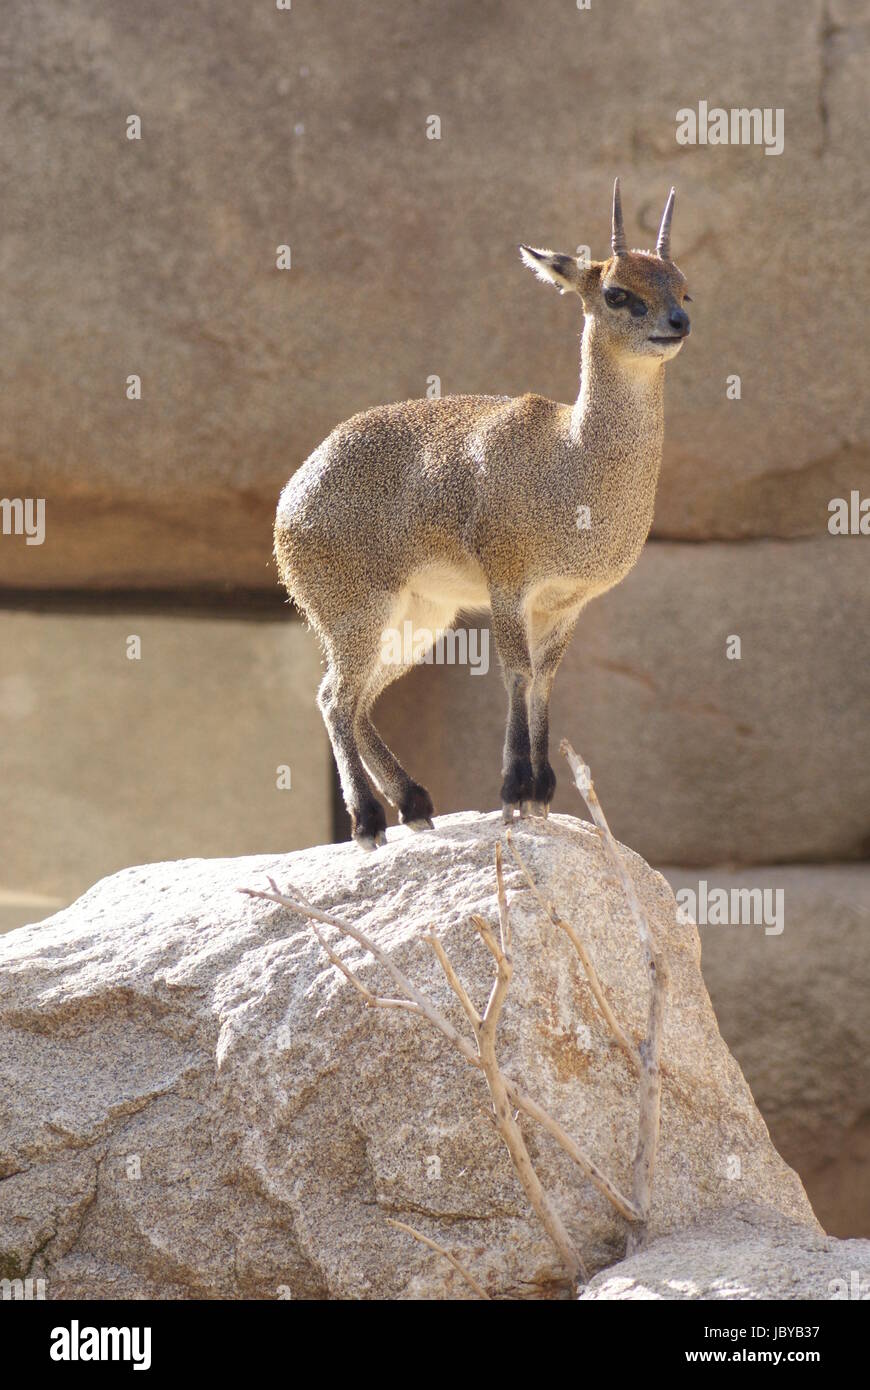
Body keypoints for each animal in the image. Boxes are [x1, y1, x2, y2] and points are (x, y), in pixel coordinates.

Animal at [275, 180, 691, 848]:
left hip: (419, 618)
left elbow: (544, 679)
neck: (572, 457)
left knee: (352, 699)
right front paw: (515, 790)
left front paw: (541, 792)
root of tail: (292, 493)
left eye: (683, 287)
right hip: (357, 612)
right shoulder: (509, 585)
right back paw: (369, 822)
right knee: (335, 698)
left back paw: (415, 804)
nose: (678, 323)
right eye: (617, 292)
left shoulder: (564, 603)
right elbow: (515, 673)